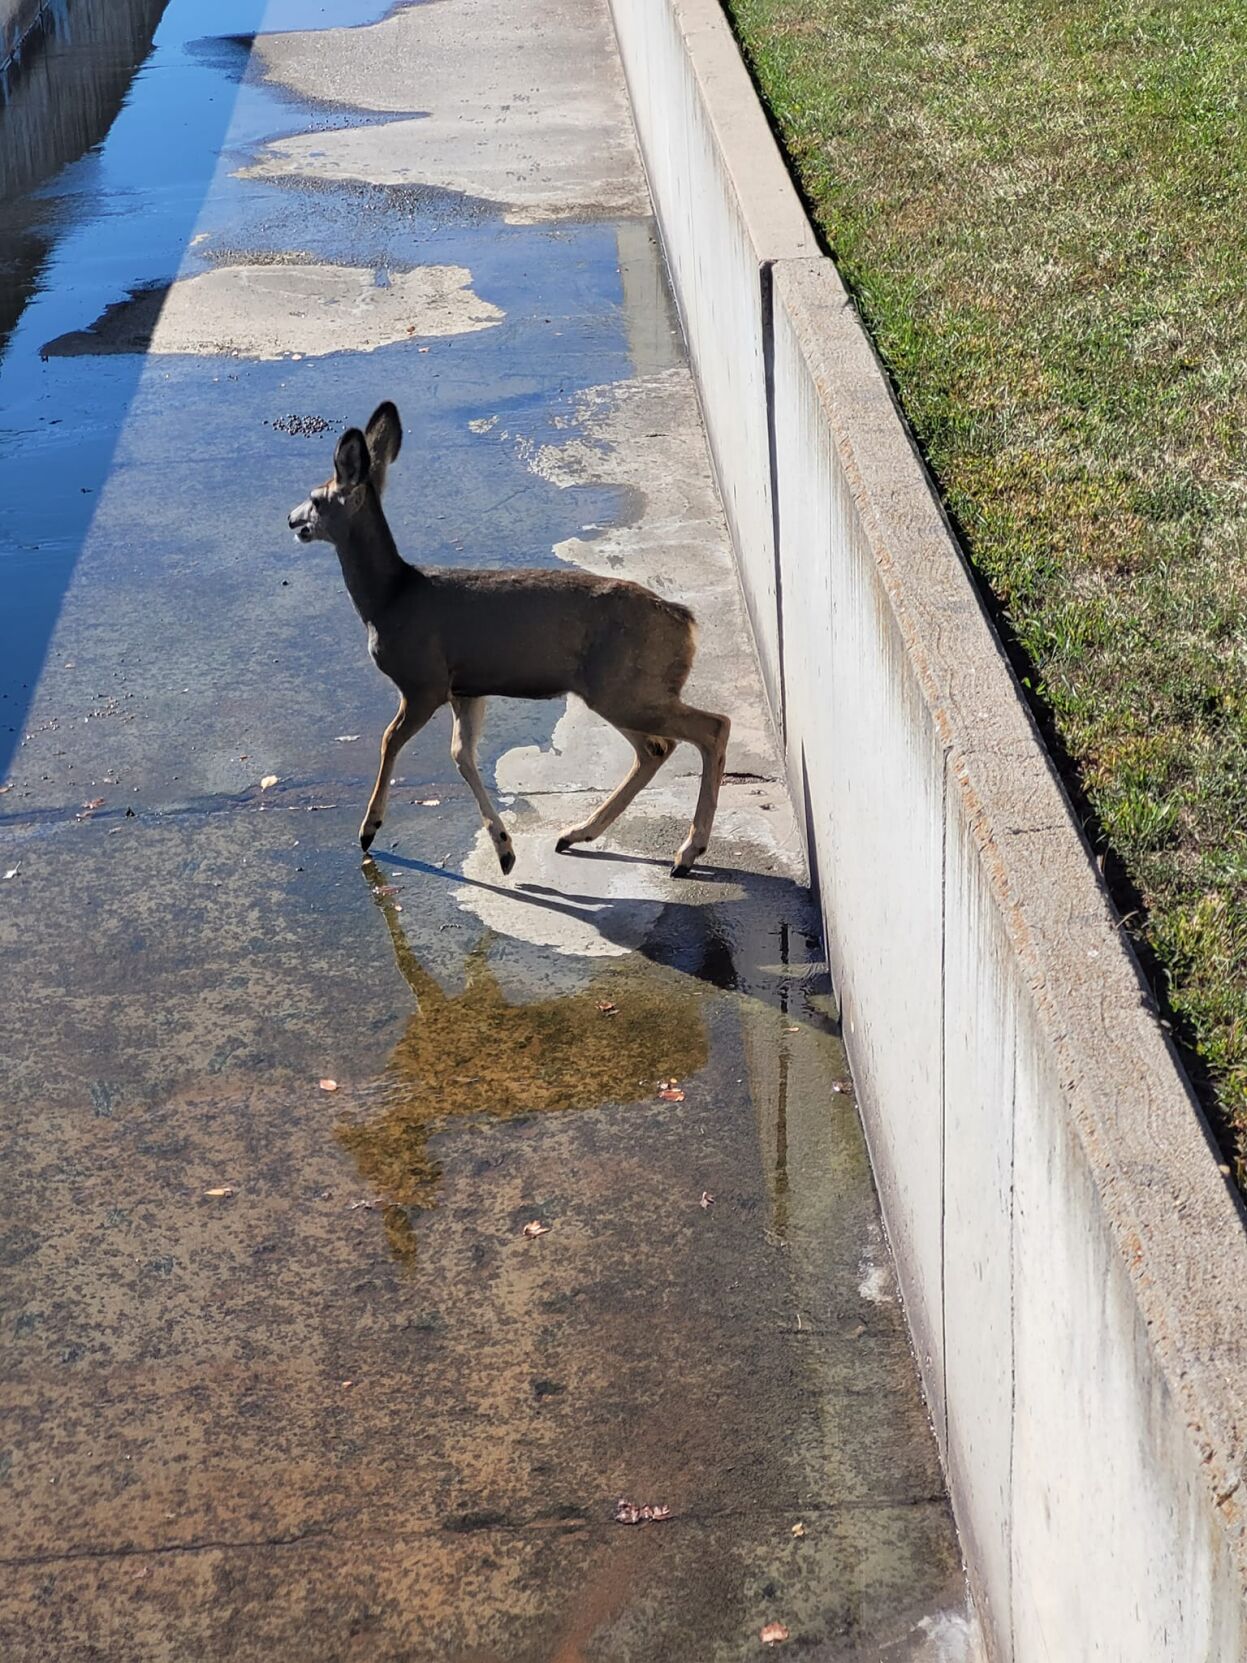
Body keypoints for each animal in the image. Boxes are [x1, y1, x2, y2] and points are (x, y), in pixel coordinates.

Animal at [287, 401, 730, 878]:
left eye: (316, 498)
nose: (292, 519)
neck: (389, 600)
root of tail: (685, 623)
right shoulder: (466, 689)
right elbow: (461, 755)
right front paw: (504, 848)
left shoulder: (423, 680)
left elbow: (390, 740)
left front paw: (368, 830)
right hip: (620, 687)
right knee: (656, 748)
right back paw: (578, 834)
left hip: (625, 686)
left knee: (711, 727)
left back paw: (687, 852)